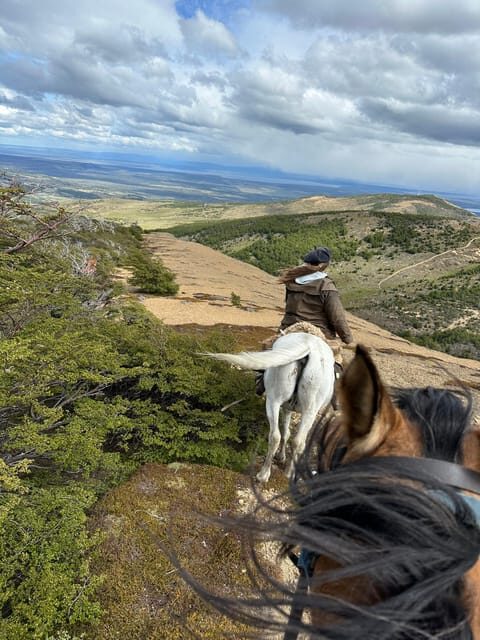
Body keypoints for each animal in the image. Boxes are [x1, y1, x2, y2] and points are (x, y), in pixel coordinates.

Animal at [205, 331, 335, 483]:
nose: (258, 383)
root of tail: (308, 345)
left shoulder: (287, 408)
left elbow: (285, 432)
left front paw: (281, 456)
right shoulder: (288, 408)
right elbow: (286, 433)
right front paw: (282, 456)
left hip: (276, 400)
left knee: (276, 437)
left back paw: (264, 474)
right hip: (305, 409)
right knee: (292, 440)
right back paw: (284, 474)